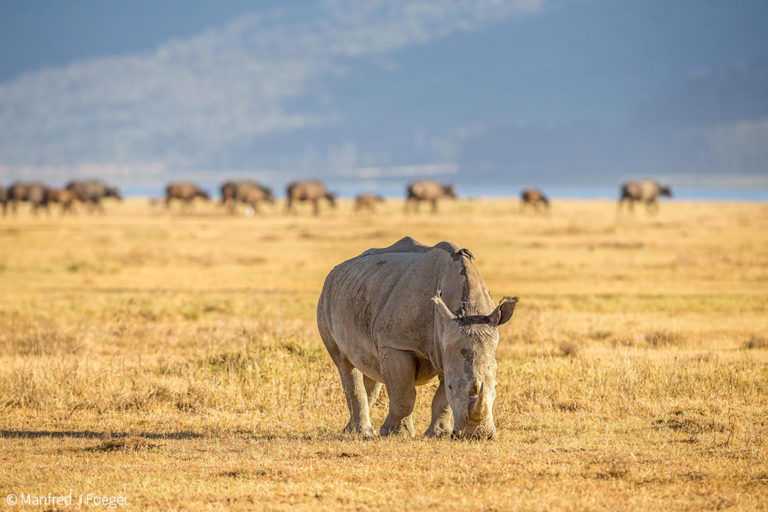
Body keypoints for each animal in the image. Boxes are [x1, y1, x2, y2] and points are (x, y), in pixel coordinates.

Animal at [317, 236, 517, 440]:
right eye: (452, 387)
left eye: (496, 386)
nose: (477, 436)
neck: (468, 311)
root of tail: (336, 270)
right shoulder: (397, 344)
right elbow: (404, 393)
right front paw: (397, 434)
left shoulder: (446, 346)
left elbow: (441, 400)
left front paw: (438, 434)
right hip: (326, 297)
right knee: (344, 364)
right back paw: (362, 432)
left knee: (369, 366)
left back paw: (353, 430)